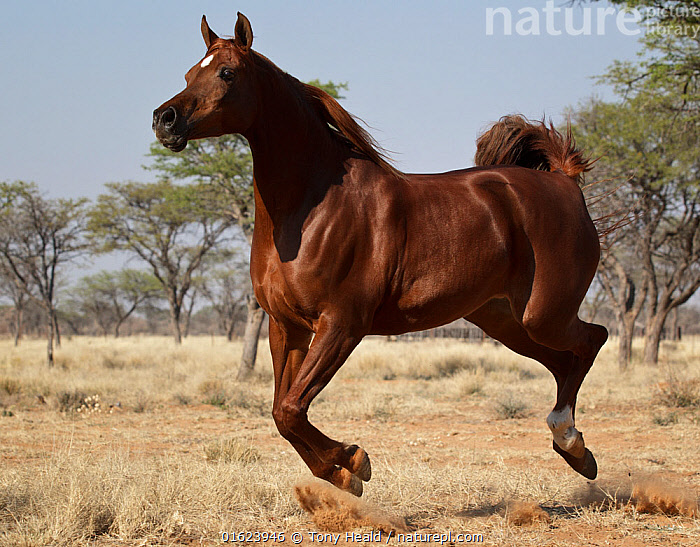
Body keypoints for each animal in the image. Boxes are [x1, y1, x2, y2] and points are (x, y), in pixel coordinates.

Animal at [153, 12, 608, 497]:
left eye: (226, 72)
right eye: (189, 73)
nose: (164, 120)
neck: (312, 206)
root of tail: (563, 180)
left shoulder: (341, 324)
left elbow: (291, 408)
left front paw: (353, 461)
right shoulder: (285, 326)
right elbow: (281, 411)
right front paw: (342, 471)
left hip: (544, 314)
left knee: (592, 339)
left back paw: (570, 440)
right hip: (506, 320)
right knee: (565, 360)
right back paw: (576, 450)